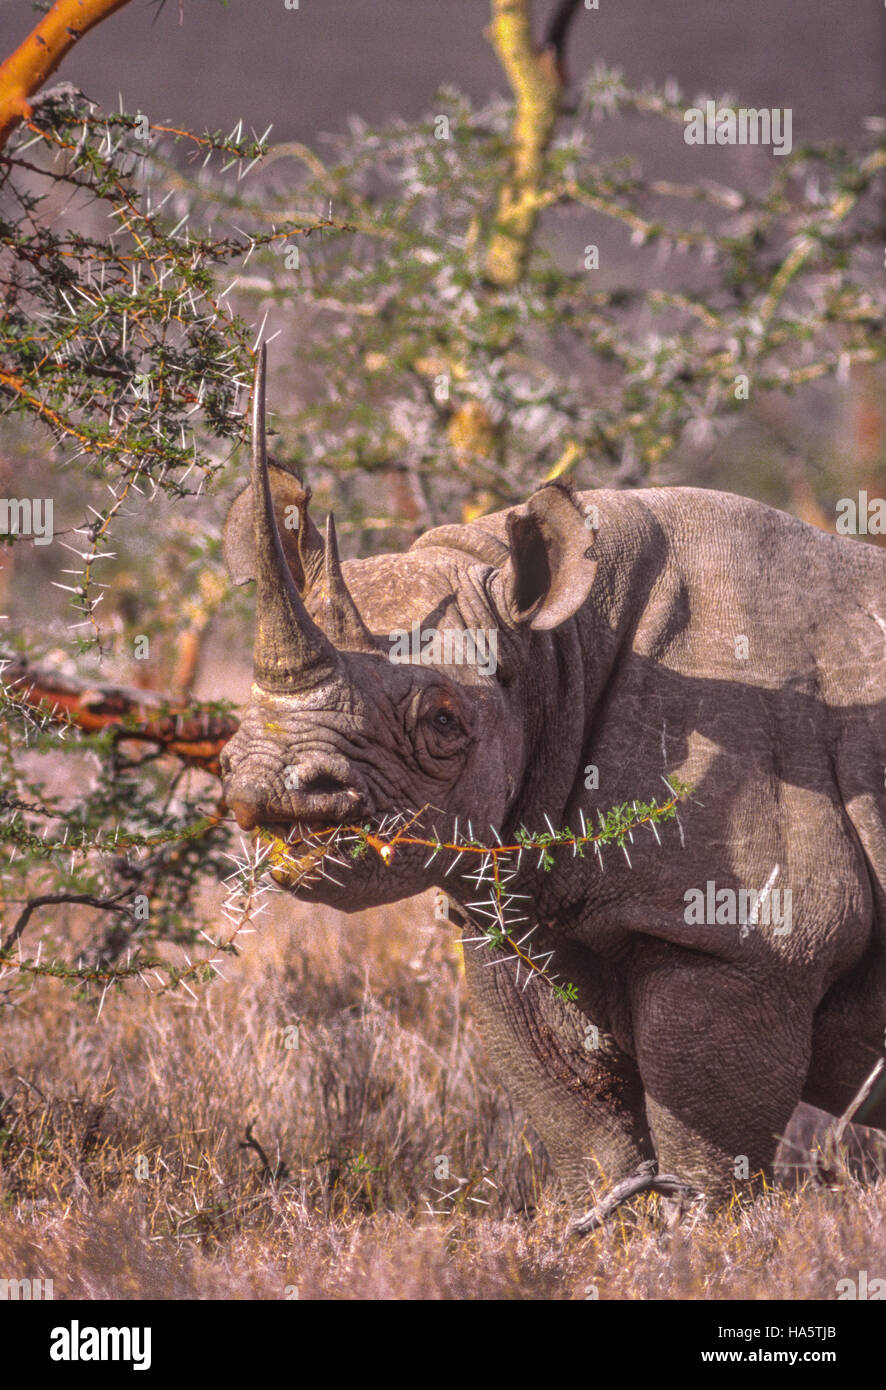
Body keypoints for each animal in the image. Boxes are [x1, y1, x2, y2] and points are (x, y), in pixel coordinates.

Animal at [220, 349, 886, 1226]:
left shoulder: (746, 939)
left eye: (444, 722)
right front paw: (608, 1231)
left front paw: (707, 1235)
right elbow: (577, 1122)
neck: (551, 653)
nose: (273, 789)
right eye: (240, 718)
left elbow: (708, 1147)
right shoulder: (507, 905)